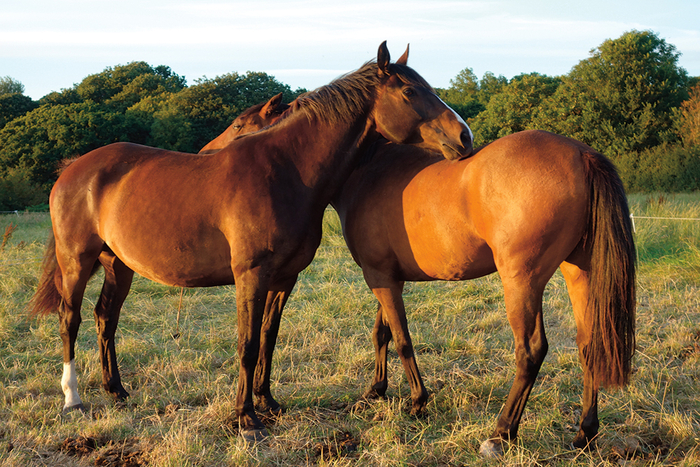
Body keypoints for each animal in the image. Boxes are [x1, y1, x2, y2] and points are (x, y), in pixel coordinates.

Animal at [28, 42, 473, 442]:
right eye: (409, 92)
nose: (465, 137)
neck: (287, 170)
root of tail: (74, 168)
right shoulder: (251, 275)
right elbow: (246, 342)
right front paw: (245, 418)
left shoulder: (284, 279)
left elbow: (267, 339)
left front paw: (267, 403)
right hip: (76, 262)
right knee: (70, 320)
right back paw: (72, 399)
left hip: (118, 265)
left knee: (106, 318)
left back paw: (116, 391)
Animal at [332, 133, 636, 456]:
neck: (368, 169)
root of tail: (581, 154)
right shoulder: (388, 279)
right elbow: (382, 333)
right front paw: (376, 389)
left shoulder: (379, 277)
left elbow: (402, 340)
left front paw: (417, 402)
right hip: (579, 272)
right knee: (589, 345)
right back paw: (584, 434)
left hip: (522, 282)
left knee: (531, 351)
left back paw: (502, 432)